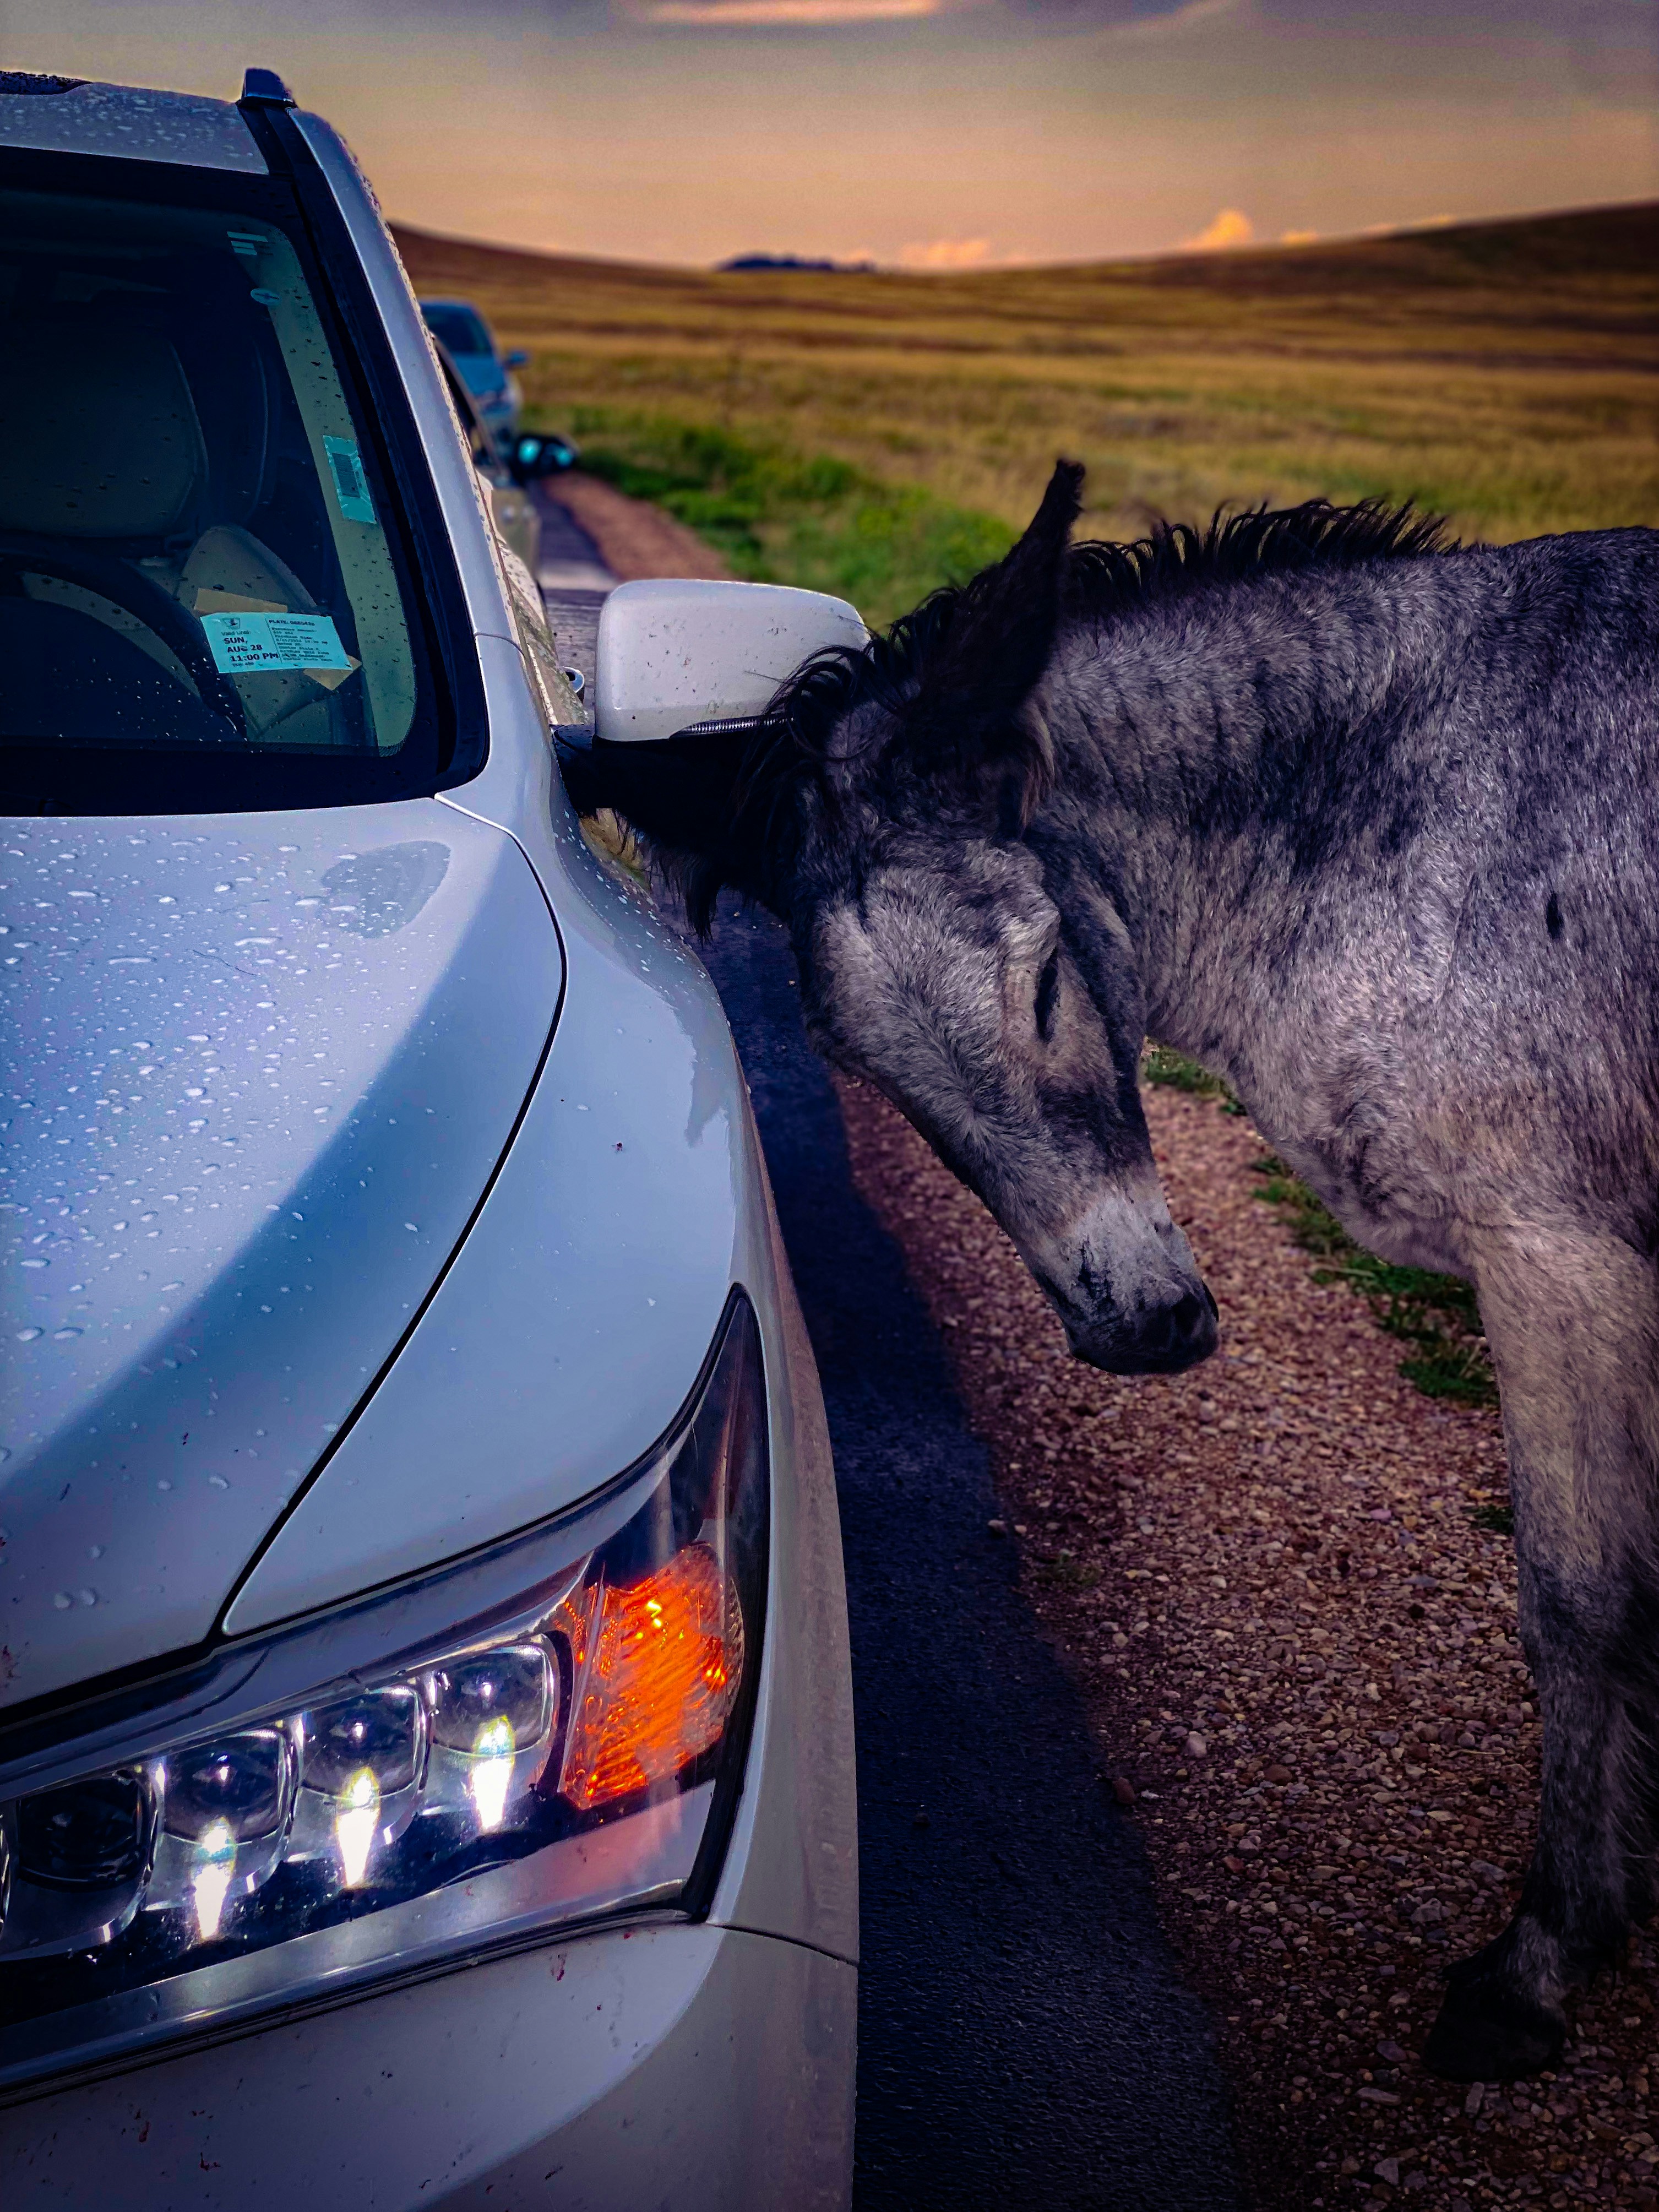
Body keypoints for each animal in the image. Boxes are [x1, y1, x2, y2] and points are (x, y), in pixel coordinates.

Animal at [564, 461, 1659, 2081]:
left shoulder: (1560, 1248)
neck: (1401, 822)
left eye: (1040, 983)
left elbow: (1581, 1597)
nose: (1136, 1329)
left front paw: (1541, 1962)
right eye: (859, 1066)